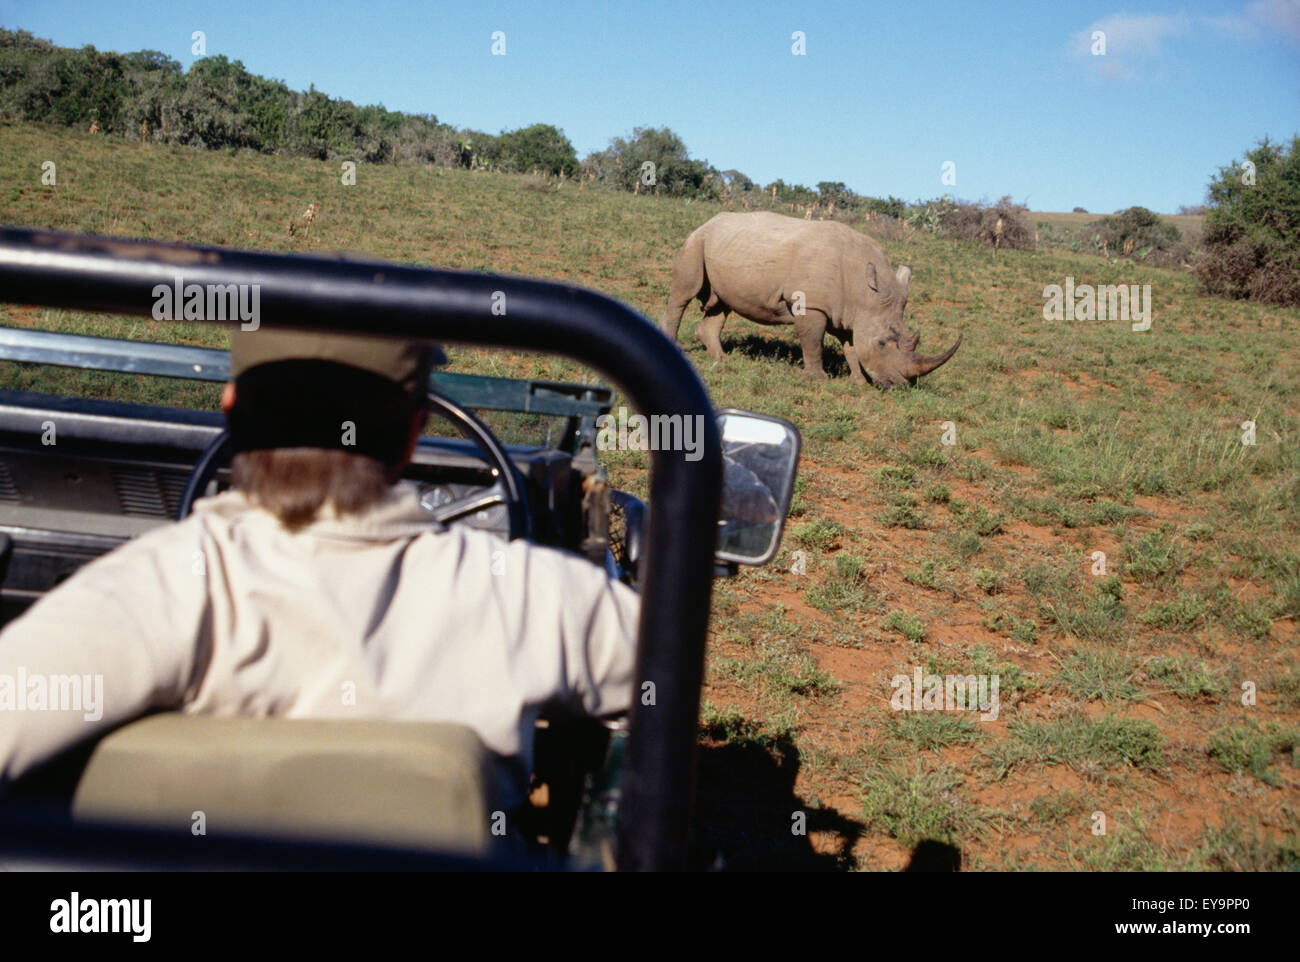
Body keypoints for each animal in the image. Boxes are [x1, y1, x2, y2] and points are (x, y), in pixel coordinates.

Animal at [661, 212, 961, 388]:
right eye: (882, 343)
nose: (898, 385)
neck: (864, 291)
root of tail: (708, 221)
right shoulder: (812, 303)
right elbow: (813, 341)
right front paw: (819, 379)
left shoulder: (849, 312)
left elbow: (852, 347)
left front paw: (857, 382)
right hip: (696, 240)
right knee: (684, 293)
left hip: (726, 245)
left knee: (722, 304)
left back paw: (722, 359)